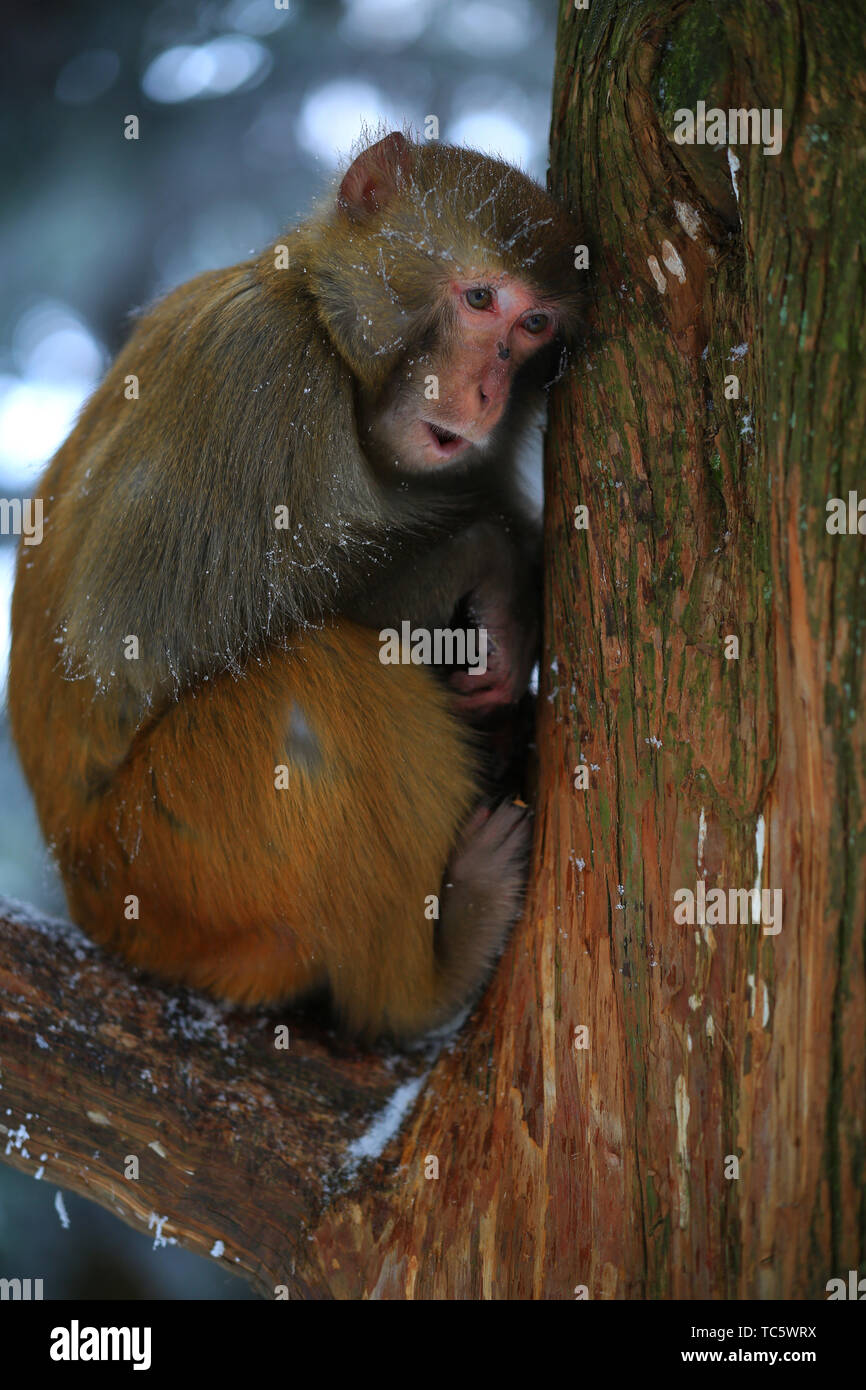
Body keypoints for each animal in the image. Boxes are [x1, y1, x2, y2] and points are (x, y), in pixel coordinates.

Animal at [8, 132, 581, 1040]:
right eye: (481, 297)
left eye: (533, 326)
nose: (489, 392)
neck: (326, 333)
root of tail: (87, 899)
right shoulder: (263, 370)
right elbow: (136, 639)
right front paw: (493, 569)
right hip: (163, 872)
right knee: (312, 686)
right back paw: (429, 971)